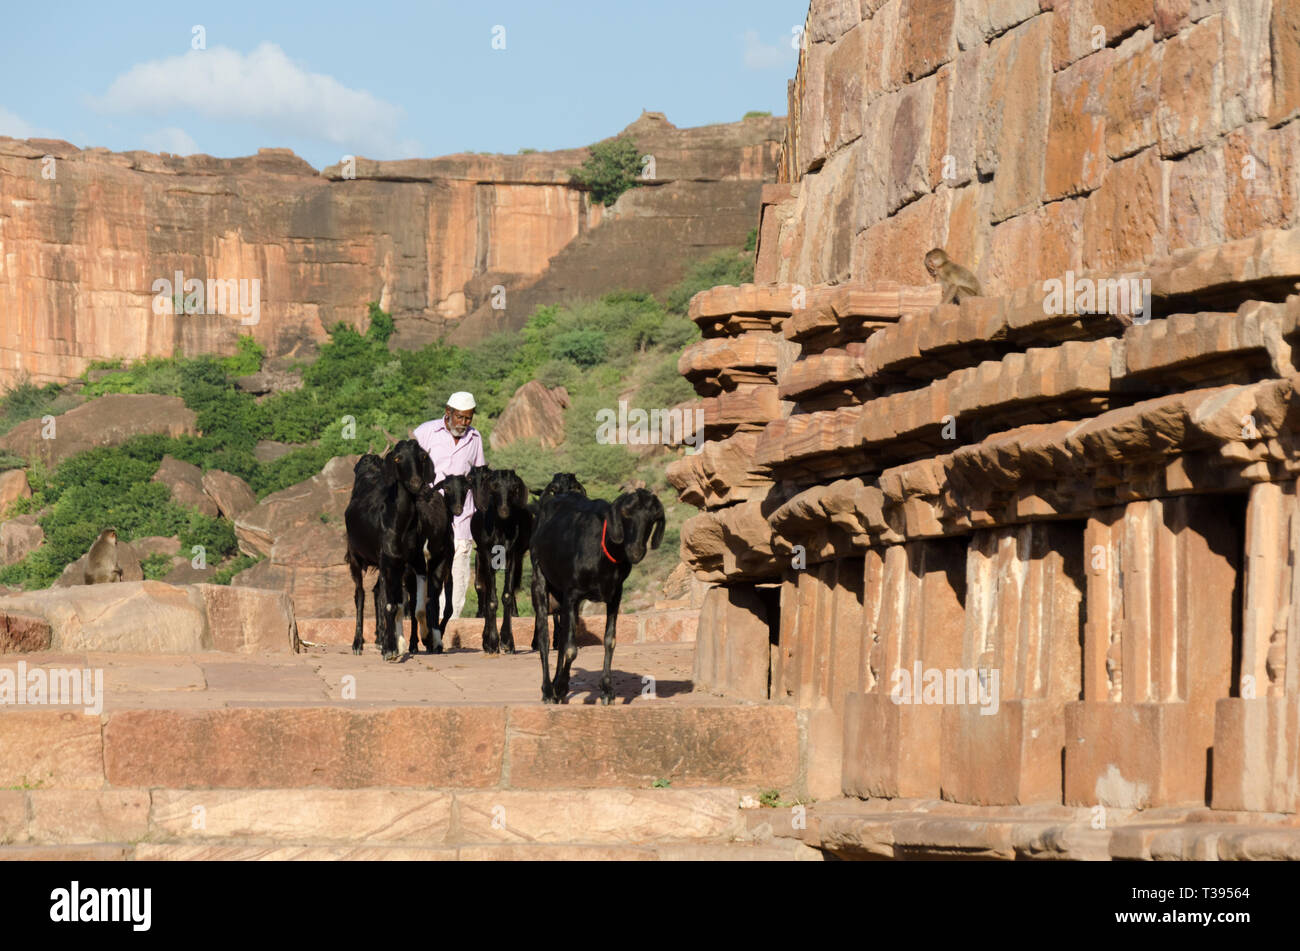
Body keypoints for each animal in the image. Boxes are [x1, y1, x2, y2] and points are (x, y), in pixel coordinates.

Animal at [344, 440, 435, 661]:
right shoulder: (388, 560)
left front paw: (425, 637)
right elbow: (390, 604)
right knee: (360, 595)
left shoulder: (415, 561)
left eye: (422, 456)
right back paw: (358, 643)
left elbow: (417, 607)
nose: (416, 483)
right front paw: (390, 649)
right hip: (355, 558)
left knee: (378, 591)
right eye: (398, 458)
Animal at [403, 474, 469, 654]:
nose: (458, 509)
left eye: (465, 488)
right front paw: (435, 637)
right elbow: (444, 606)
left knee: (416, 603)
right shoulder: (446, 564)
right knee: (422, 601)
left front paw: (431, 637)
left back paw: (415, 643)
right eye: (446, 488)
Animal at [468, 466, 532, 655]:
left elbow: (507, 595)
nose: (504, 511)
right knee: (485, 590)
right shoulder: (487, 555)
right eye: (494, 486)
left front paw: (507, 641)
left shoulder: (513, 555)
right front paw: (492, 641)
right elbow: (491, 599)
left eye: (514, 487)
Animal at [529, 488, 665, 704]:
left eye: (653, 517)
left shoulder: (615, 595)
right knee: (544, 635)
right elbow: (571, 649)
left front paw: (607, 690)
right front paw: (559, 687)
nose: (635, 551)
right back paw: (549, 691)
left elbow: (609, 640)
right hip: (540, 579)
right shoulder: (572, 593)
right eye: (626, 513)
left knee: (562, 637)